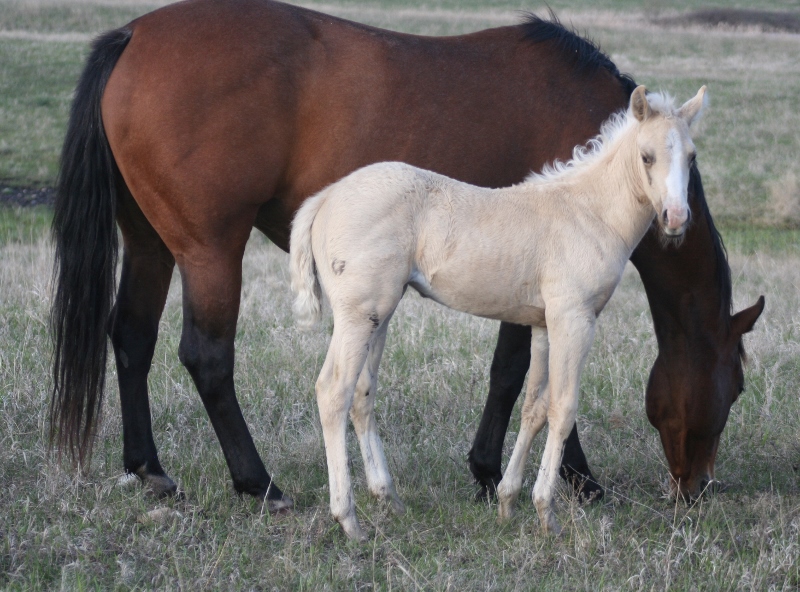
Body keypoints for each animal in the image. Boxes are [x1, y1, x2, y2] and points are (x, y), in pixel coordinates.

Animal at [50, 0, 763, 512]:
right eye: (735, 386)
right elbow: (519, 378)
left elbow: (524, 381)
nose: (697, 490)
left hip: (150, 241)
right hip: (210, 249)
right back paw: (260, 484)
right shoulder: (544, 296)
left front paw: (506, 475)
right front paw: (548, 479)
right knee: (207, 357)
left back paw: (150, 470)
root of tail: (134, 35)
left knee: (132, 337)